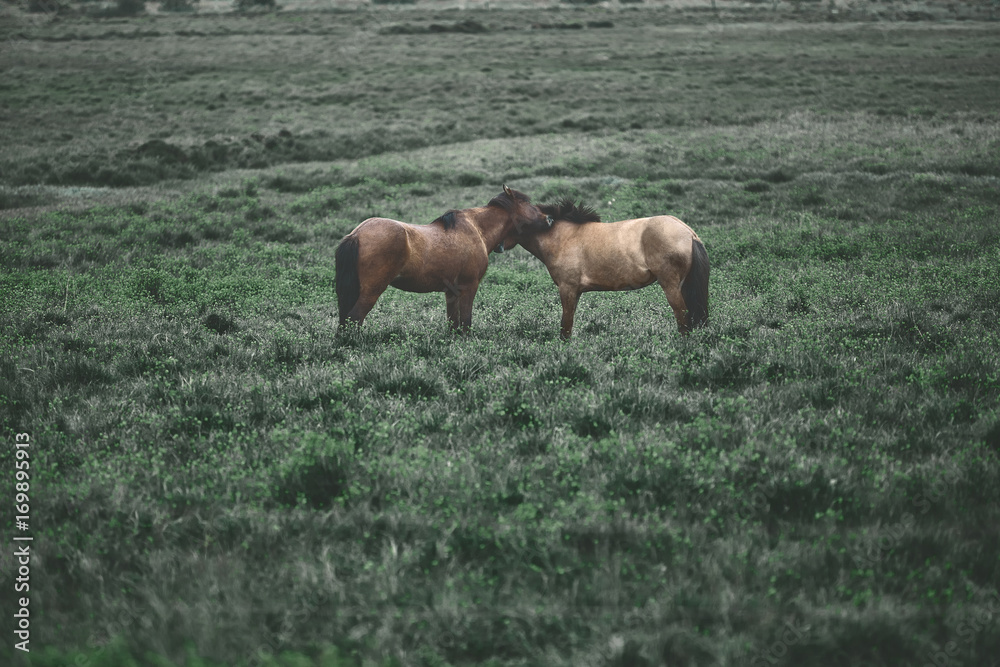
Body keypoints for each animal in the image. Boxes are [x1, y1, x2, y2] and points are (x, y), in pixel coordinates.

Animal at [335, 185, 553, 332]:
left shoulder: (451, 292)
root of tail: (356, 234)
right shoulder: (468, 287)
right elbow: (466, 323)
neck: (477, 229)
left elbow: (453, 325)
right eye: (526, 203)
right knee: (354, 319)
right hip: (371, 291)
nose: (549, 218)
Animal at [498, 199, 709, 339]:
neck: (562, 237)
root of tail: (688, 232)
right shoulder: (575, 292)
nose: (496, 245)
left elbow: (565, 326)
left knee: (682, 317)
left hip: (671, 286)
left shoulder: (567, 289)